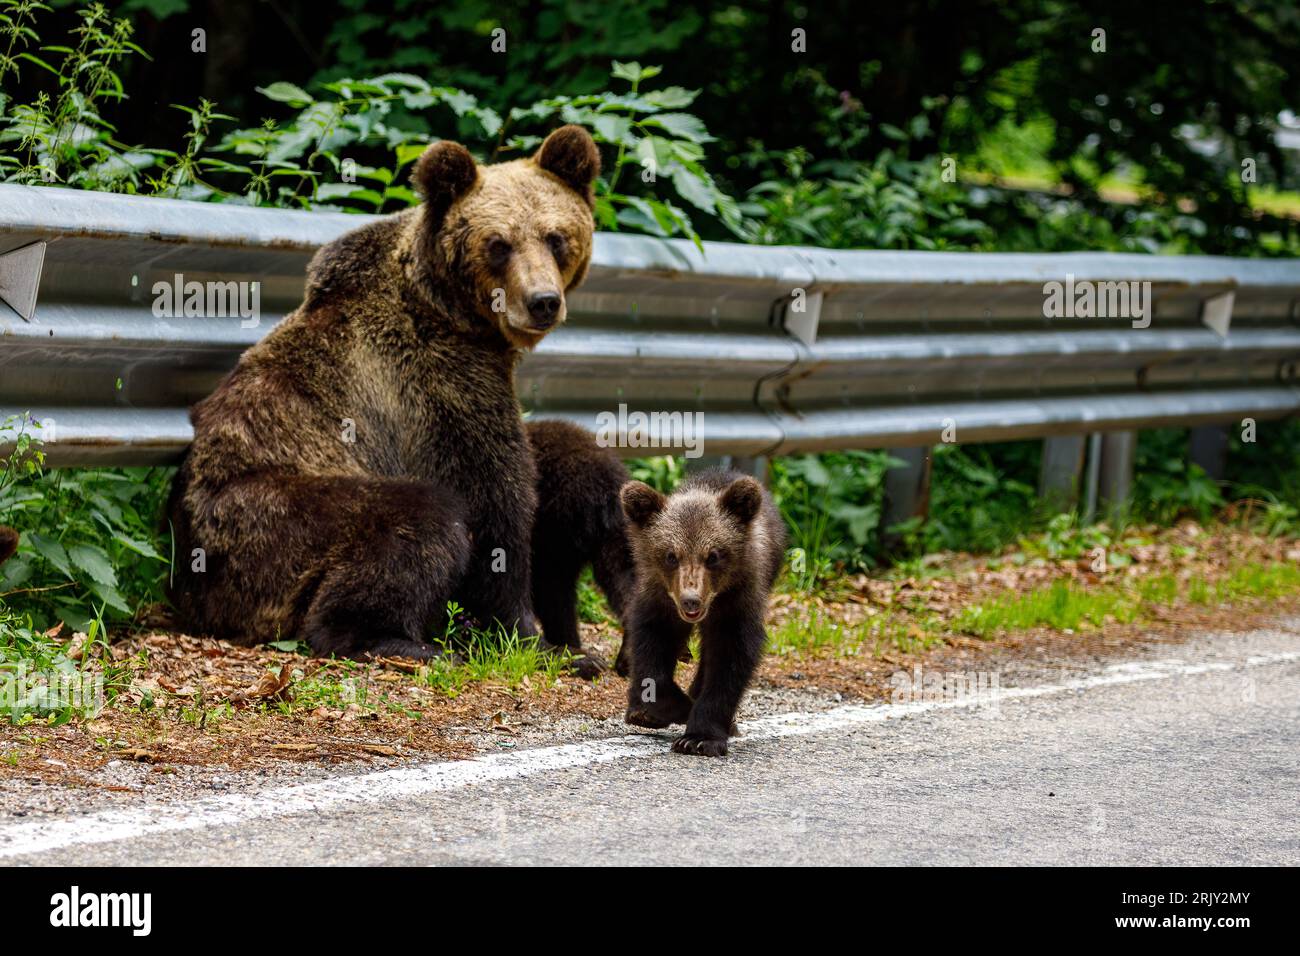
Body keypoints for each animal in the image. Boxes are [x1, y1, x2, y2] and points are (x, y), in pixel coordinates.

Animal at [168, 125, 602, 660]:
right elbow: (493, 500)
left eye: (555, 237)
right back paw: (398, 641)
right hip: (268, 521)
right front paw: (537, 639)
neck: (459, 315)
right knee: (416, 518)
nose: (542, 301)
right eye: (499, 243)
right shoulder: (437, 383)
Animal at [618, 468, 787, 756]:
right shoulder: (658, 600)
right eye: (670, 555)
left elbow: (730, 659)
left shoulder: (737, 602)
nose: (691, 601)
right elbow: (651, 647)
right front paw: (655, 710)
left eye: (714, 555)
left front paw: (699, 737)